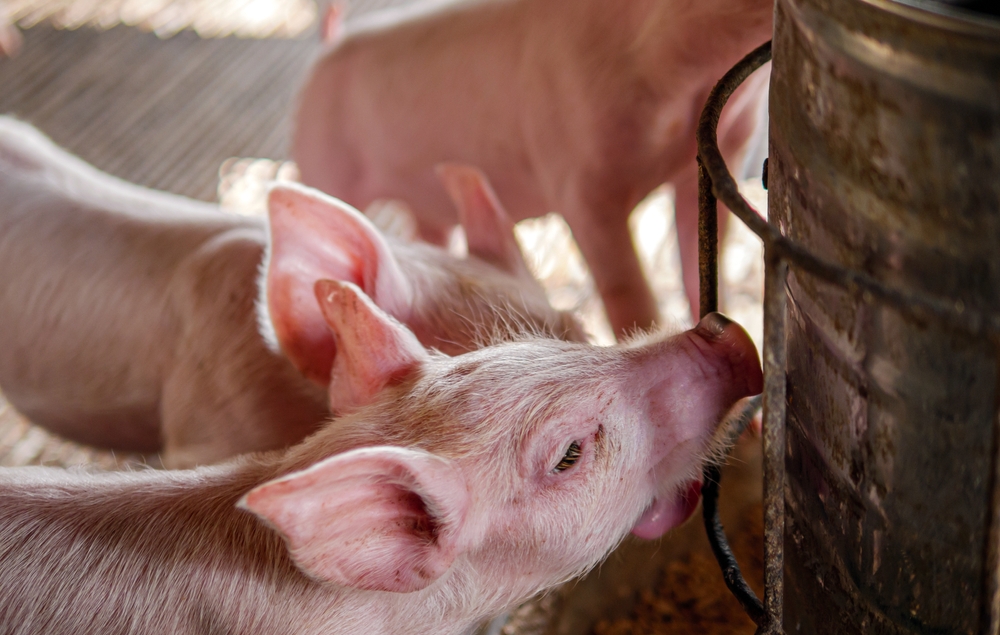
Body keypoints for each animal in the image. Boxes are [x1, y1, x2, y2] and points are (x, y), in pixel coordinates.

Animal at [292, 0, 773, 337]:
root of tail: (327, 46)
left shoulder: (722, 150)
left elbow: (705, 267)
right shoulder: (580, 182)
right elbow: (626, 292)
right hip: (322, 159)